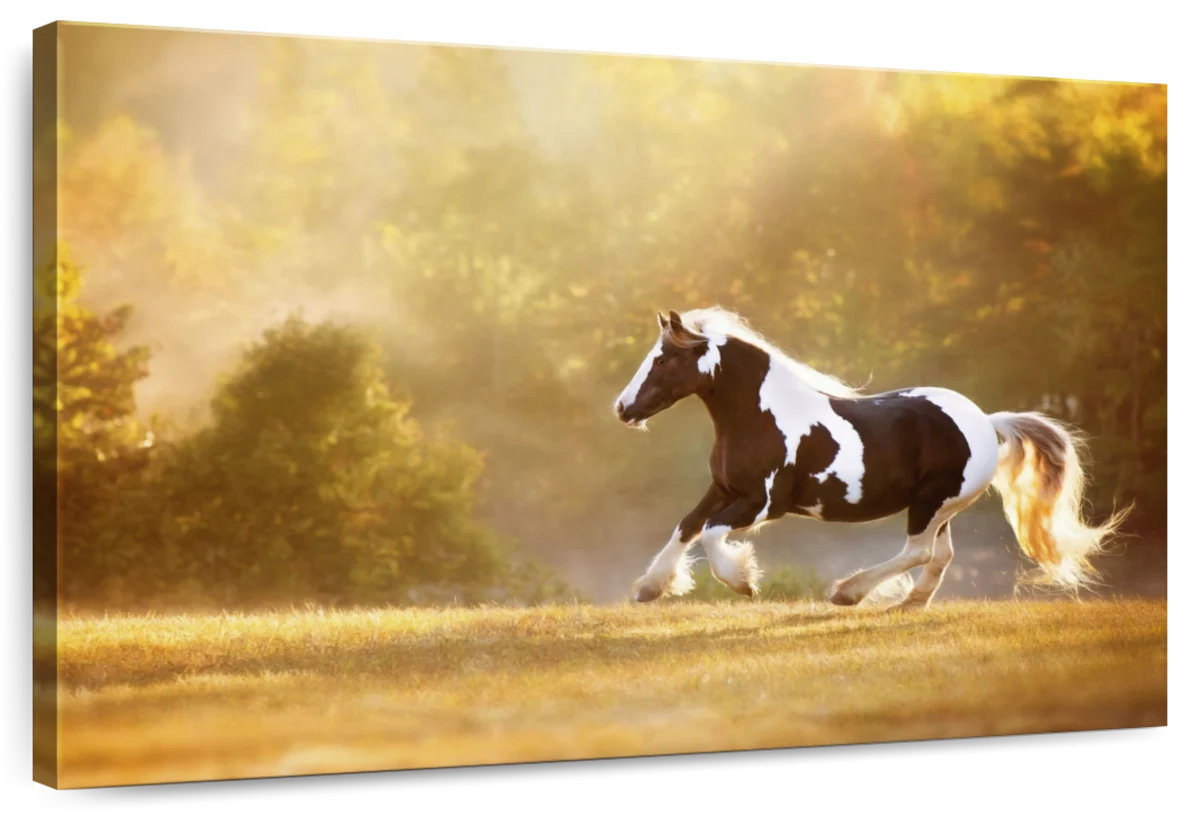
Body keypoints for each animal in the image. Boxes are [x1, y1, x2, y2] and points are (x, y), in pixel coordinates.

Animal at [613, 307, 1125, 610]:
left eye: (663, 360)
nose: (622, 408)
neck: (760, 415)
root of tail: (985, 421)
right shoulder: (724, 488)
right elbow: (687, 525)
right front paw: (649, 587)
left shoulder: (763, 504)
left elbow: (713, 533)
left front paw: (742, 581)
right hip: (942, 507)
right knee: (939, 554)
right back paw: (908, 604)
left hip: (931, 503)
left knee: (918, 551)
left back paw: (848, 592)